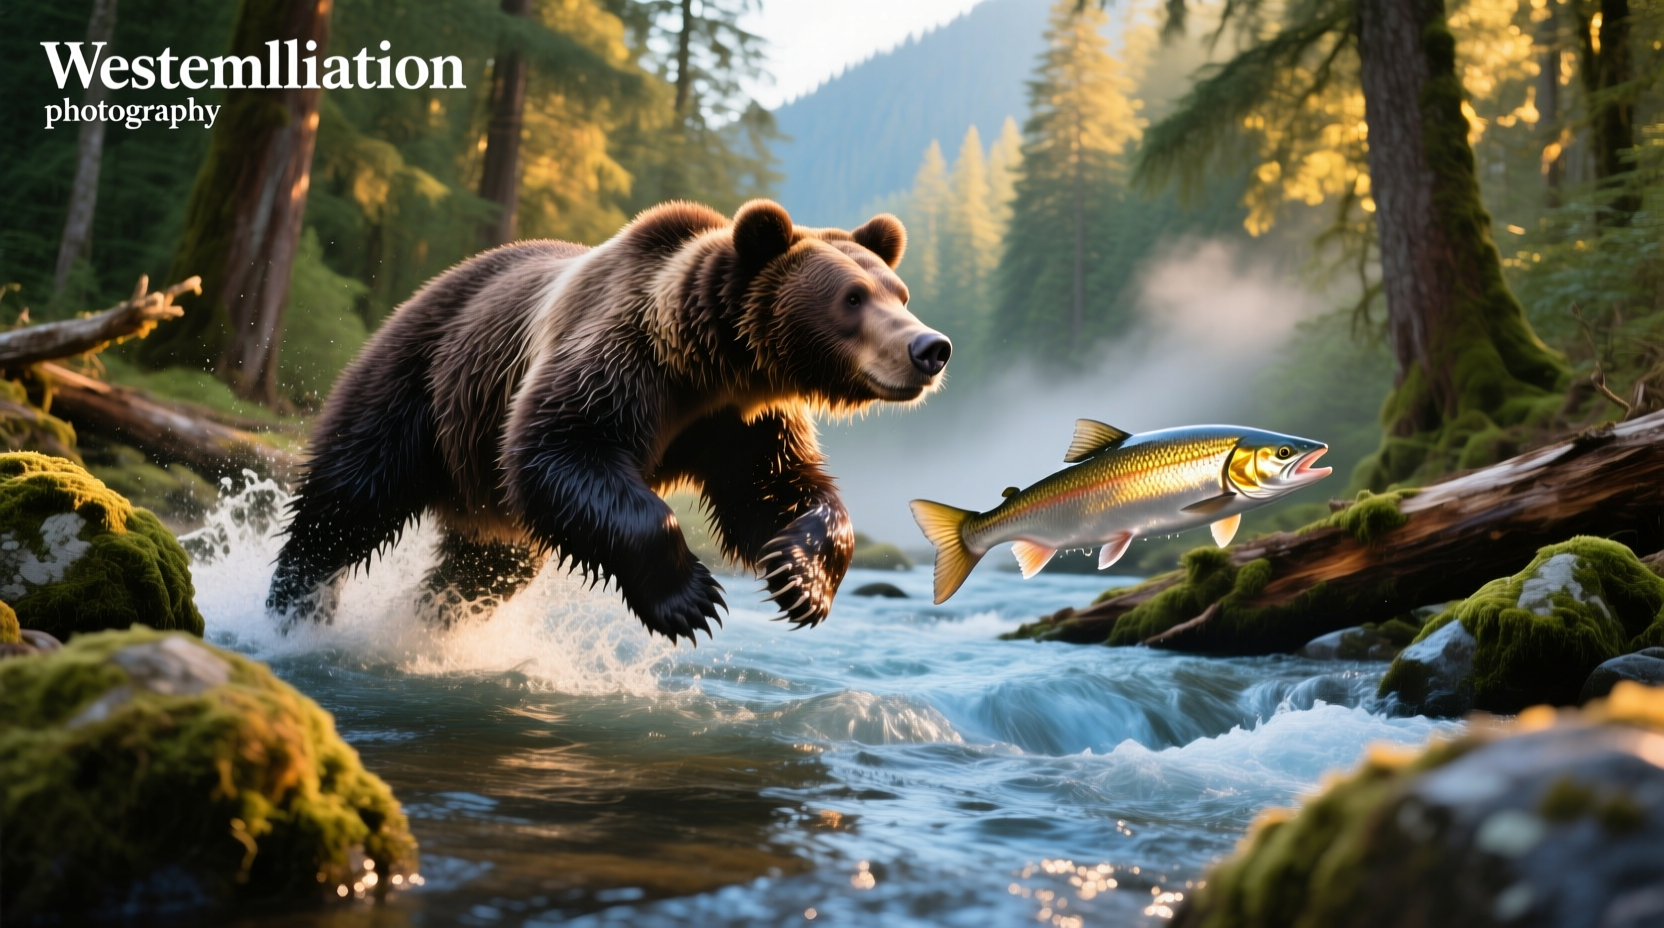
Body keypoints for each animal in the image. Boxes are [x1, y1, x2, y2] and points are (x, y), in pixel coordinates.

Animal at [267, 199, 951, 641]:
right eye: (852, 298)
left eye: (899, 293)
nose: (930, 347)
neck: (712, 363)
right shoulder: (624, 361)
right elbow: (563, 445)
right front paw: (690, 600)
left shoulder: (742, 420)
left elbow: (777, 487)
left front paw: (800, 579)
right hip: (419, 386)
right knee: (346, 503)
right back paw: (296, 610)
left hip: (486, 495)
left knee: (485, 567)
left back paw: (430, 624)